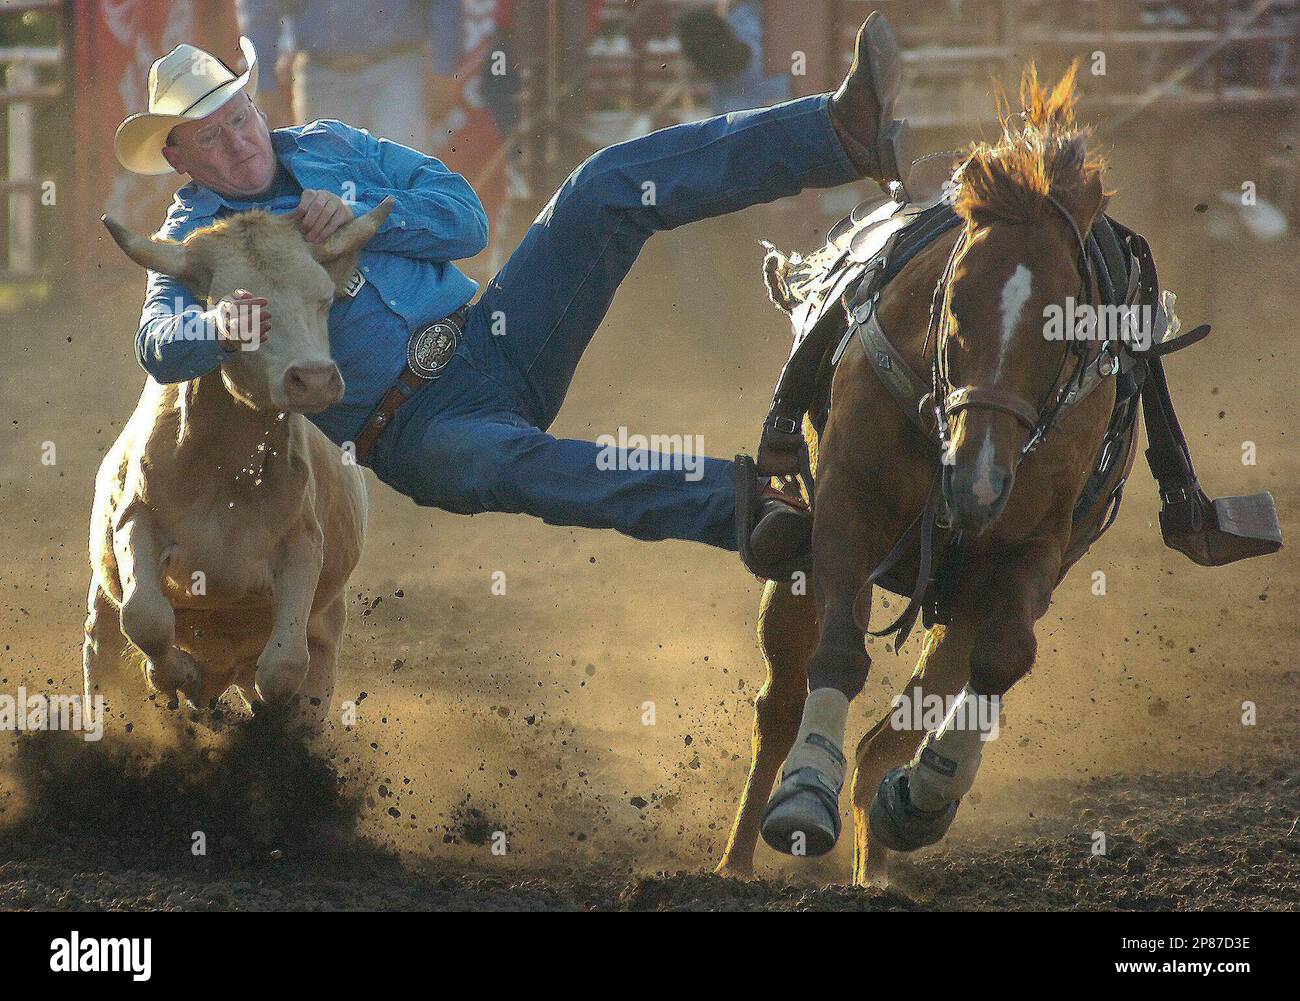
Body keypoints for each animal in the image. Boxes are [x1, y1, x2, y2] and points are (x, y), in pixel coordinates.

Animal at [718, 65, 1135, 886]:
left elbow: (1004, 658)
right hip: (802, 561)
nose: (976, 480)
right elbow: (838, 654)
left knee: (888, 737)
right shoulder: (846, 503)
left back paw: (879, 858)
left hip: (962, 593)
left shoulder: (1036, 543)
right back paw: (736, 864)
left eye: (1063, 321)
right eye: (957, 301)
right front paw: (804, 794)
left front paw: (926, 795)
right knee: (778, 705)